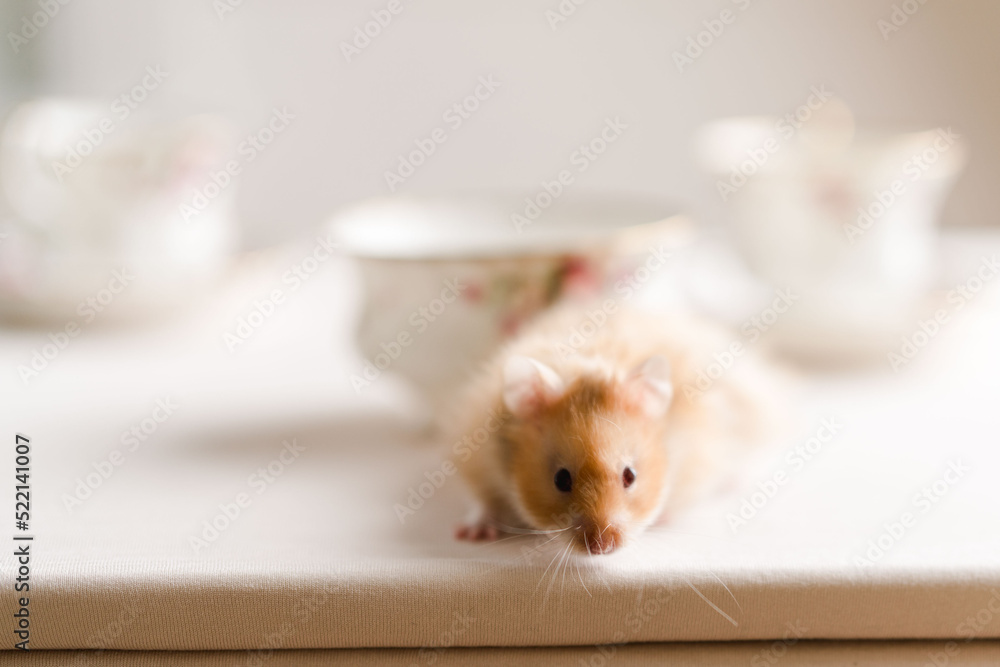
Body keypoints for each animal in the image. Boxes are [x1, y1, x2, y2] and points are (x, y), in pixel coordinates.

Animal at [446, 302, 780, 555]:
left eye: (630, 476)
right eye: (561, 479)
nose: (602, 548)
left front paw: (662, 519)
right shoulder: (476, 453)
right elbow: (482, 501)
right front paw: (472, 534)